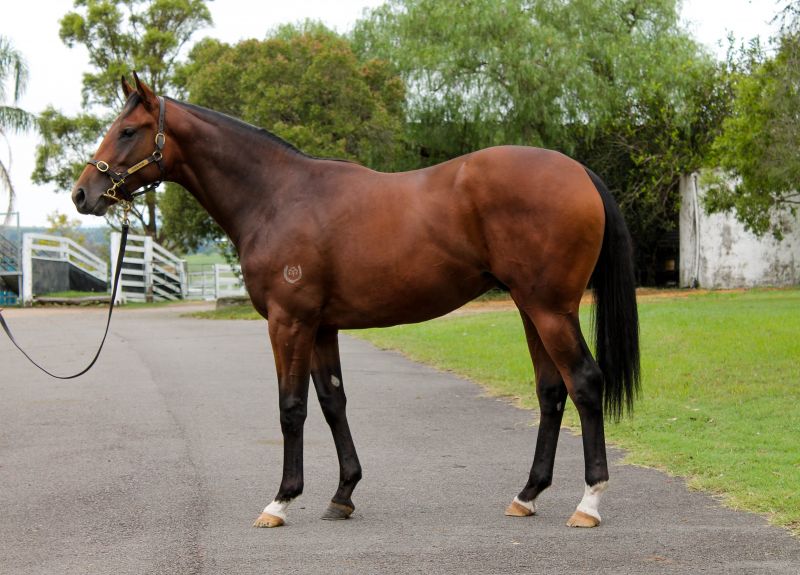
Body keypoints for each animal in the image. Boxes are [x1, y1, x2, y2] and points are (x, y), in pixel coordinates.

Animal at [72, 73, 640, 529]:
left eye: (128, 131)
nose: (82, 194)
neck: (276, 197)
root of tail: (579, 172)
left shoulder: (289, 323)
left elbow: (292, 408)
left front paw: (280, 501)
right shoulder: (322, 327)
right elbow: (332, 403)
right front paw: (342, 494)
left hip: (550, 310)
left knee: (585, 383)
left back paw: (588, 504)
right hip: (530, 309)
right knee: (551, 391)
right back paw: (526, 495)